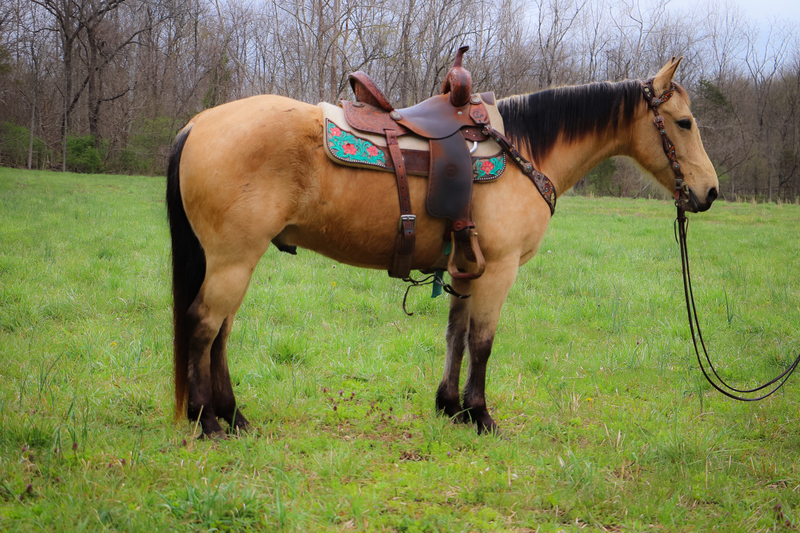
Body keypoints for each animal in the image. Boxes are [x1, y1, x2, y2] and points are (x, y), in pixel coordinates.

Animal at [166, 57, 718, 438]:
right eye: (685, 122)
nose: (710, 192)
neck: (525, 150)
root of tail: (197, 123)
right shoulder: (498, 270)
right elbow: (482, 341)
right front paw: (481, 415)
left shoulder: (465, 270)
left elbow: (456, 335)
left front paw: (450, 406)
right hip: (233, 260)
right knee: (204, 327)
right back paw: (207, 421)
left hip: (235, 262)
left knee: (219, 333)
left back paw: (232, 416)